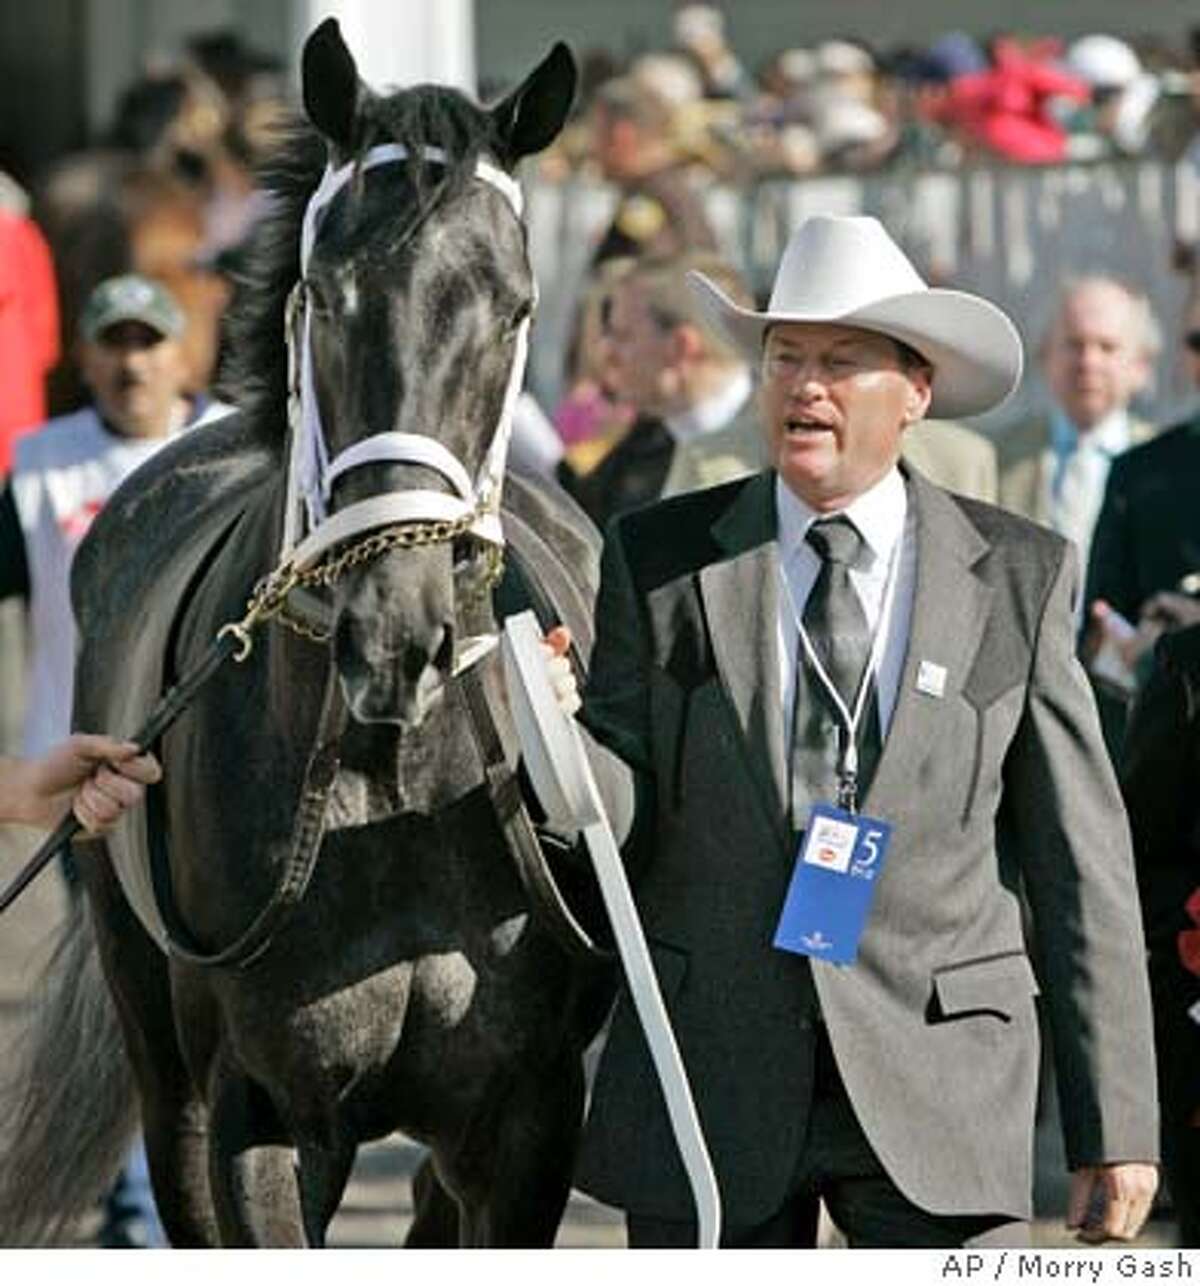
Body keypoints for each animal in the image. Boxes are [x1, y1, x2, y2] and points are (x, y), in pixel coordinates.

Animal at [0, 20, 620, 1247]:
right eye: (327, 296)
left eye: (517, 307)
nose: (396, 637)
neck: (387, 787)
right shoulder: (264, 1114)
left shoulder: (527, 1120)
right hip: (163, 1065)